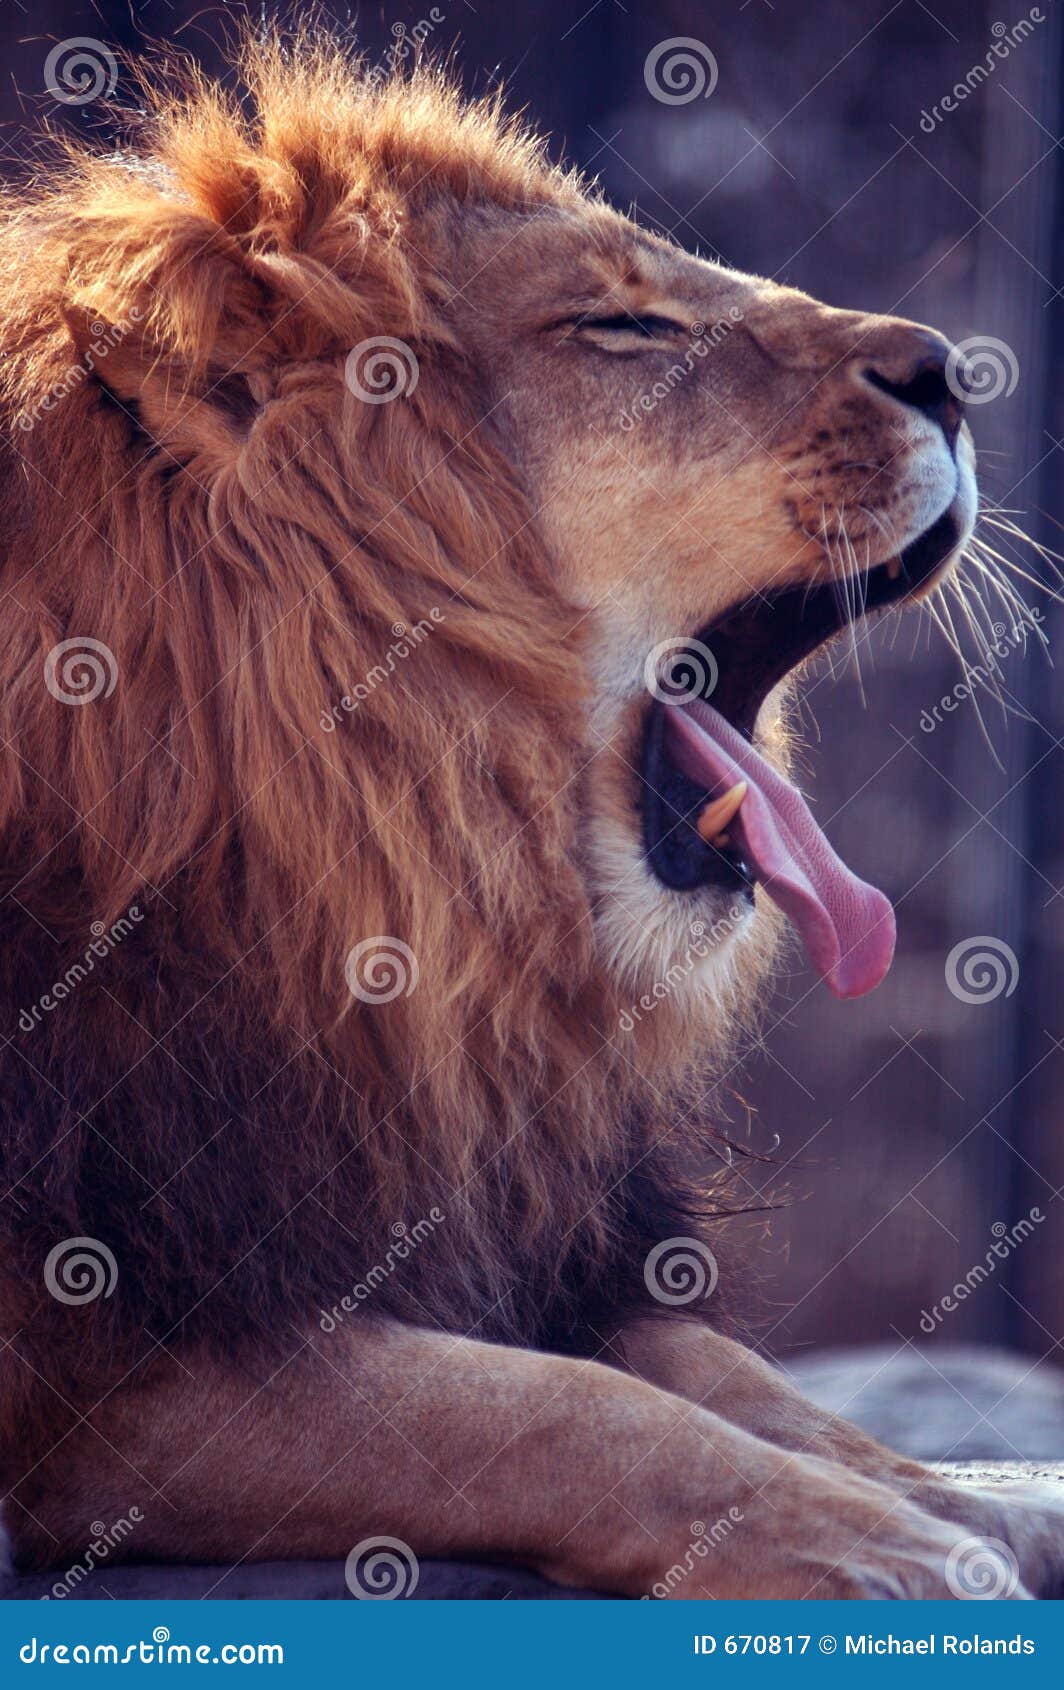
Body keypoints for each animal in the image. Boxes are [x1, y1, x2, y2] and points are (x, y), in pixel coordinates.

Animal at [0, 35, 1060, 1600]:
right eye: (621, 323)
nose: (951, 374)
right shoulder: (93, 1367)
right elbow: (543, 1410)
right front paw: (879, 1545)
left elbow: (712, 1364)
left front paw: (955, 1497)